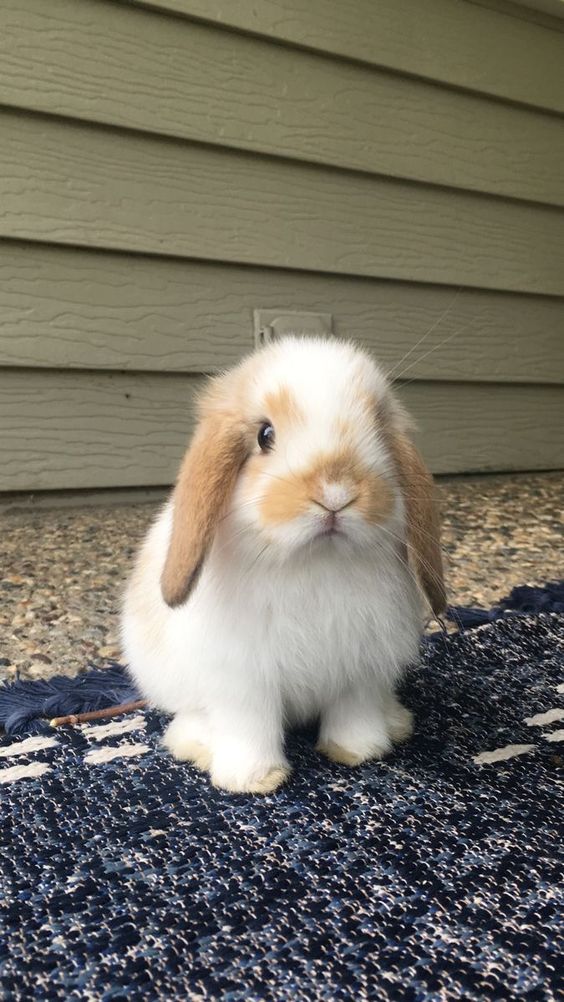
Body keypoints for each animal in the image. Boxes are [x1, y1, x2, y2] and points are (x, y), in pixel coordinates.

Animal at [121, 336, 446, 794]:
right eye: (265, 435)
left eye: (380, 432)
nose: (335, 493)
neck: (315, 562)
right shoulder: (243, 682)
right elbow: (249, 729)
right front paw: (252, 780)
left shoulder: (360, 672)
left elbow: (354, 716)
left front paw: (358, 752)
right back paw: (196, 743)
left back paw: (396, 722)